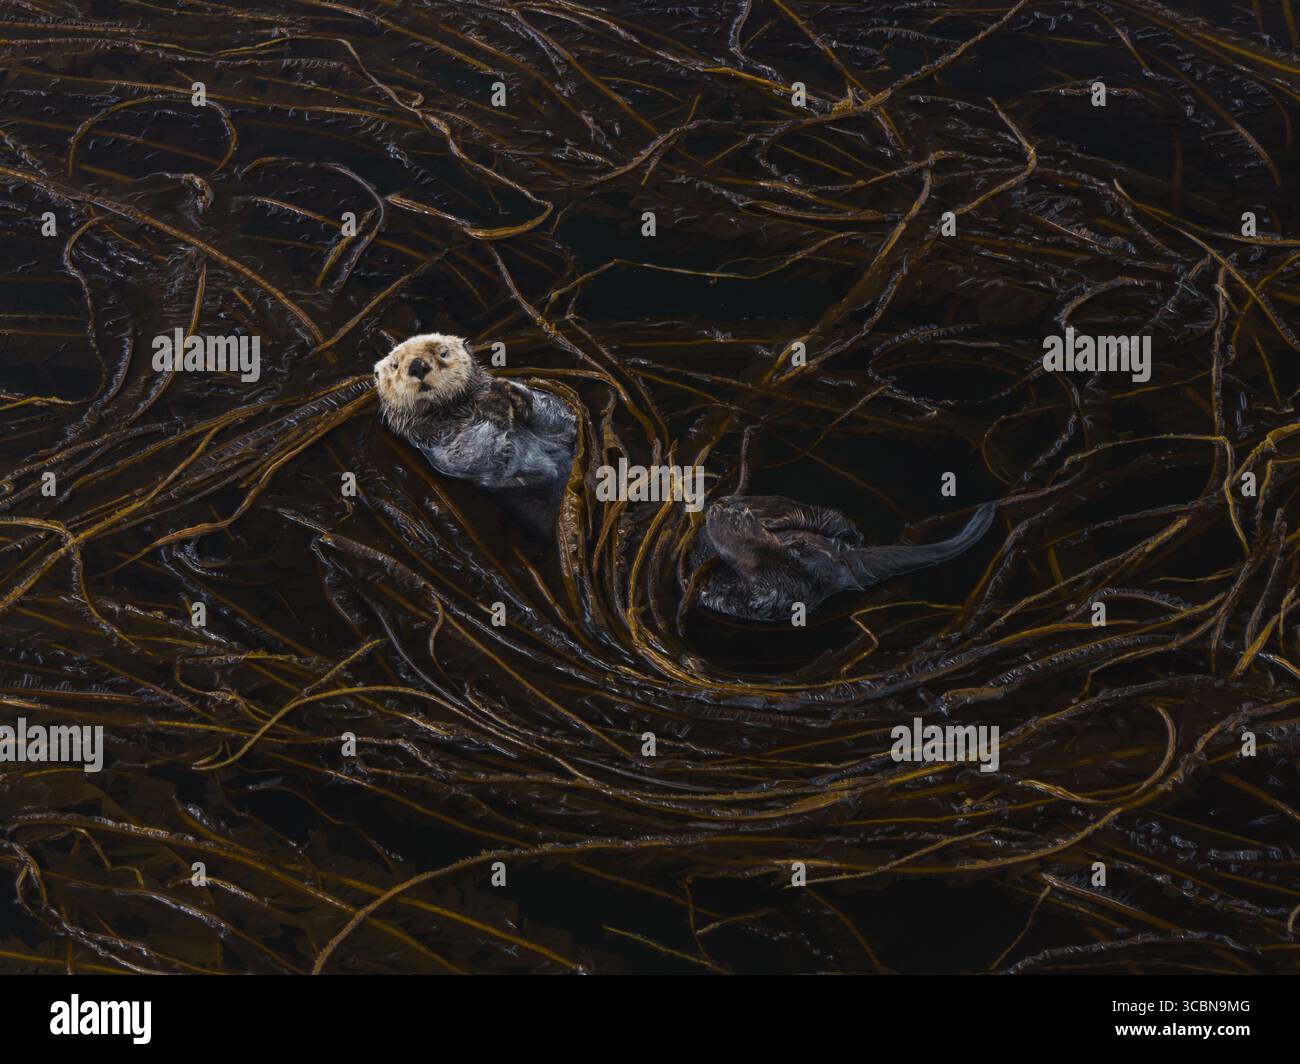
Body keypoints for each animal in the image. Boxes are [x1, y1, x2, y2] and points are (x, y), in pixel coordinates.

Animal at [374, 333, 576, 537]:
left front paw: (509, 390)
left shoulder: (561, 426)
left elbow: (560, 415)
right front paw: (495, 403)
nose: (417, 366)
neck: (459, 410)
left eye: (443, 353)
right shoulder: (441, 445)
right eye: (394, 365)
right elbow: (476, 453)